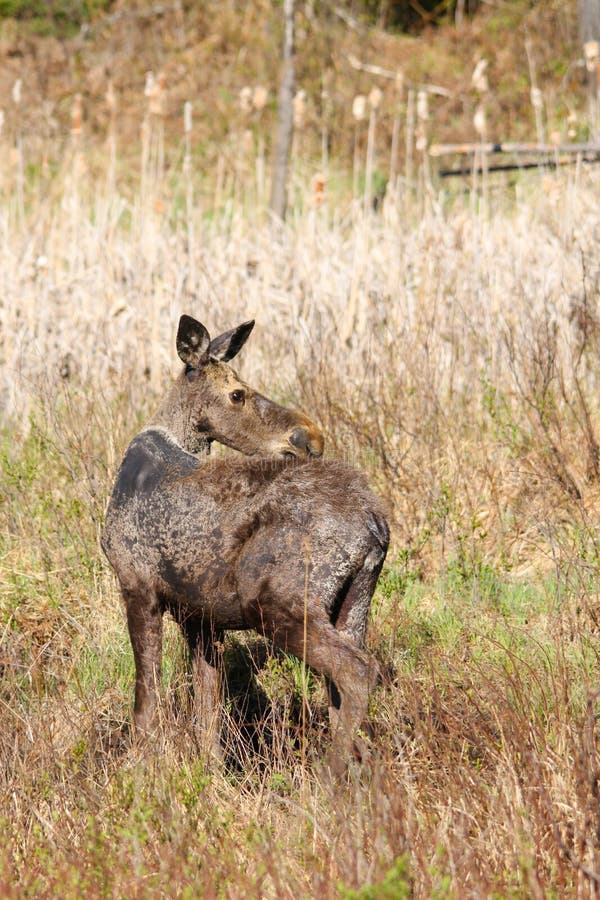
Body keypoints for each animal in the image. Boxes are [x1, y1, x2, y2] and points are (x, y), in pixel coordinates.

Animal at [101, 315, 389, 775]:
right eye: (237, 393)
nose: (309, 437)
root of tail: (376, 524)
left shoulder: (137, 585)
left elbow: (146, 697)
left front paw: (139, 769)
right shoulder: (199, 615)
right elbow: (208, 707)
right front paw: (210, 773)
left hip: (277, 601)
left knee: (357, 671)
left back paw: (329, 775)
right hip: (353, 604)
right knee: (340, 687)